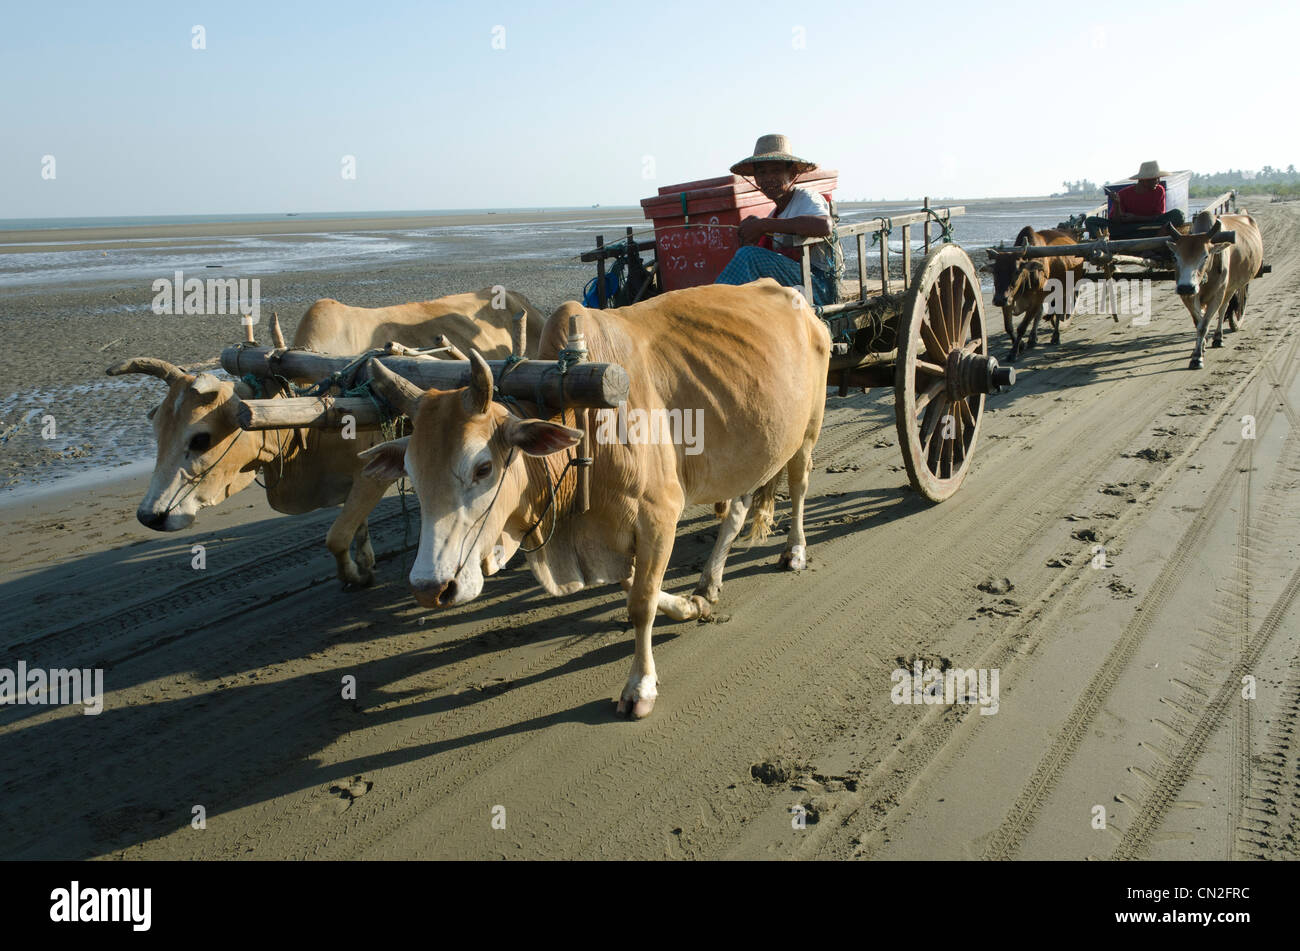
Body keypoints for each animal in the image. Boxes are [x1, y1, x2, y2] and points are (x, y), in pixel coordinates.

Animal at [107, 288, 545, 587]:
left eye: (199, 439)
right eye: (156, 433)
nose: (149, 516)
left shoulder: (372, 473)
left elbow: (336, 537)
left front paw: (355, 576)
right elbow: (355, 528)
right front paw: (365, 562)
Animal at [357, 279, 831, 718]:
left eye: (483, 467)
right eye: (412, 474)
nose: (429, 588)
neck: (584, 424)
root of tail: (795, 297)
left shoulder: (660, 515)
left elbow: (641, 604)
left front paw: (640, 687)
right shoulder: (612, 529)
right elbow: (636, 586)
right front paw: (689, 605)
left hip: (809, 428)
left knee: (799, 485)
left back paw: (794, 551)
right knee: (736, 509)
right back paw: (708, 583)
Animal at [988, 226, 1086, 362]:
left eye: (1017, 271)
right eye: (994, 271)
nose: (998, 300)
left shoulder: (1034, 301)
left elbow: (1022, 327)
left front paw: (1013, 353)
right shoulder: (1008, 302)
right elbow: (1009, 327)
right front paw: (1021, 345)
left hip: (1064, 290)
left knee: (1058, 313)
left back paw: (1055, 337)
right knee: (1040, 314)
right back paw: (1033, 339)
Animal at [1167, 211, 1265, 369]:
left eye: (1205, 256)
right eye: (1175, 257)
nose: (1186, 286)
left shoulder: (1218, 294)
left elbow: (1204, 325)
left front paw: (1197, 358)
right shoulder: (1187, 297)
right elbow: (1199, 322)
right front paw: (1200, 347)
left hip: (1232, 288)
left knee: (1224, 309)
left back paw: (1218, 338)